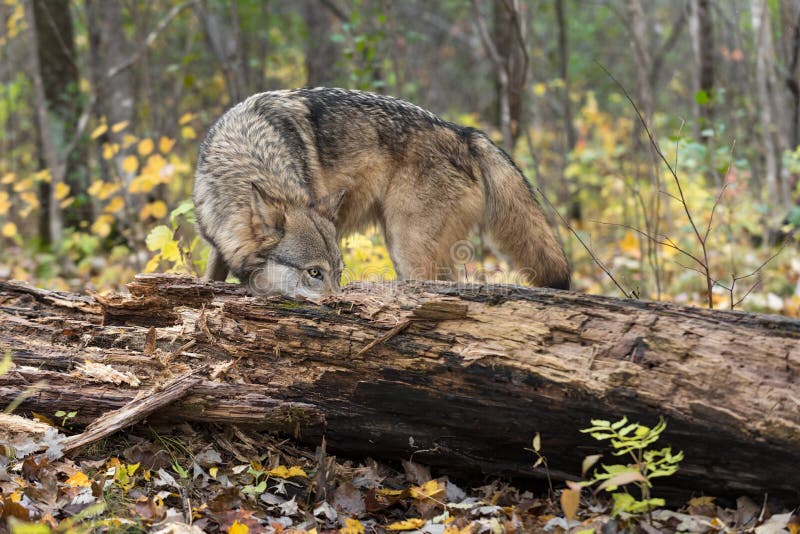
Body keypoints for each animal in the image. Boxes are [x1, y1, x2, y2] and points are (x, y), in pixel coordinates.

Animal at [193, 87, 570, 299]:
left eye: (337, 273)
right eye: (315, 273)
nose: (340, 302)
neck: (245, 154)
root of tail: (464, 133)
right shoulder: (218, 246)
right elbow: (208, 278)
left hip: (407, 251)